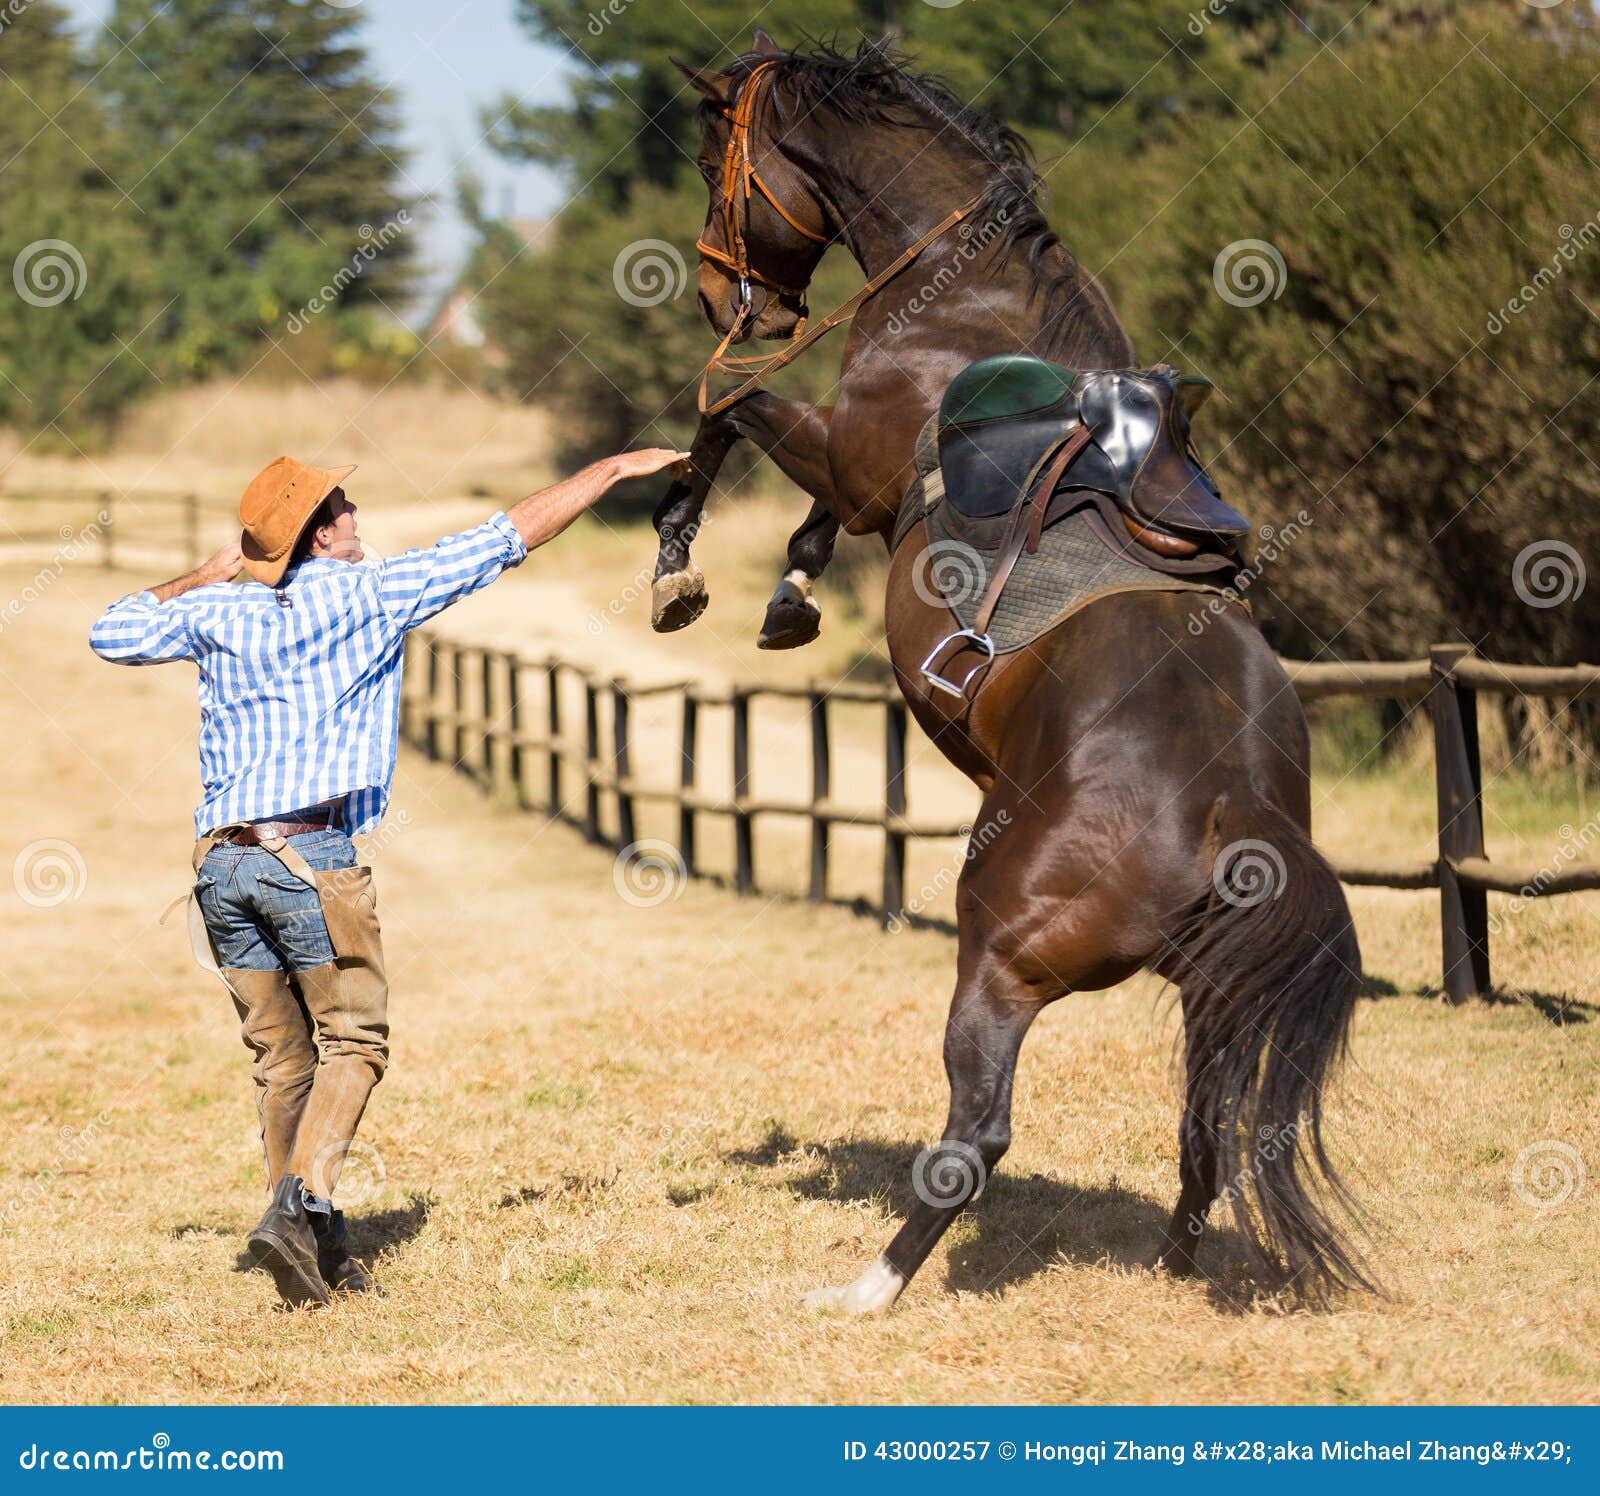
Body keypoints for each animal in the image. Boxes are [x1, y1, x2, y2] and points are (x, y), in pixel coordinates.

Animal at [649, 36, 1372, 1311]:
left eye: (709, 159)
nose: (717, 296)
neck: (963, 301)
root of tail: (1233, 807)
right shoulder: (856, 489)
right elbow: (791, 508)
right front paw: (786, 595)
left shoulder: (851, 460)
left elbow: (723, 406)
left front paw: (676, 559)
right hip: (1208, 992)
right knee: (1206, 1122)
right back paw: (1170, 1260)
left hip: (997, 951)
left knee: (977, 1131)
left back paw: (869, 1286)